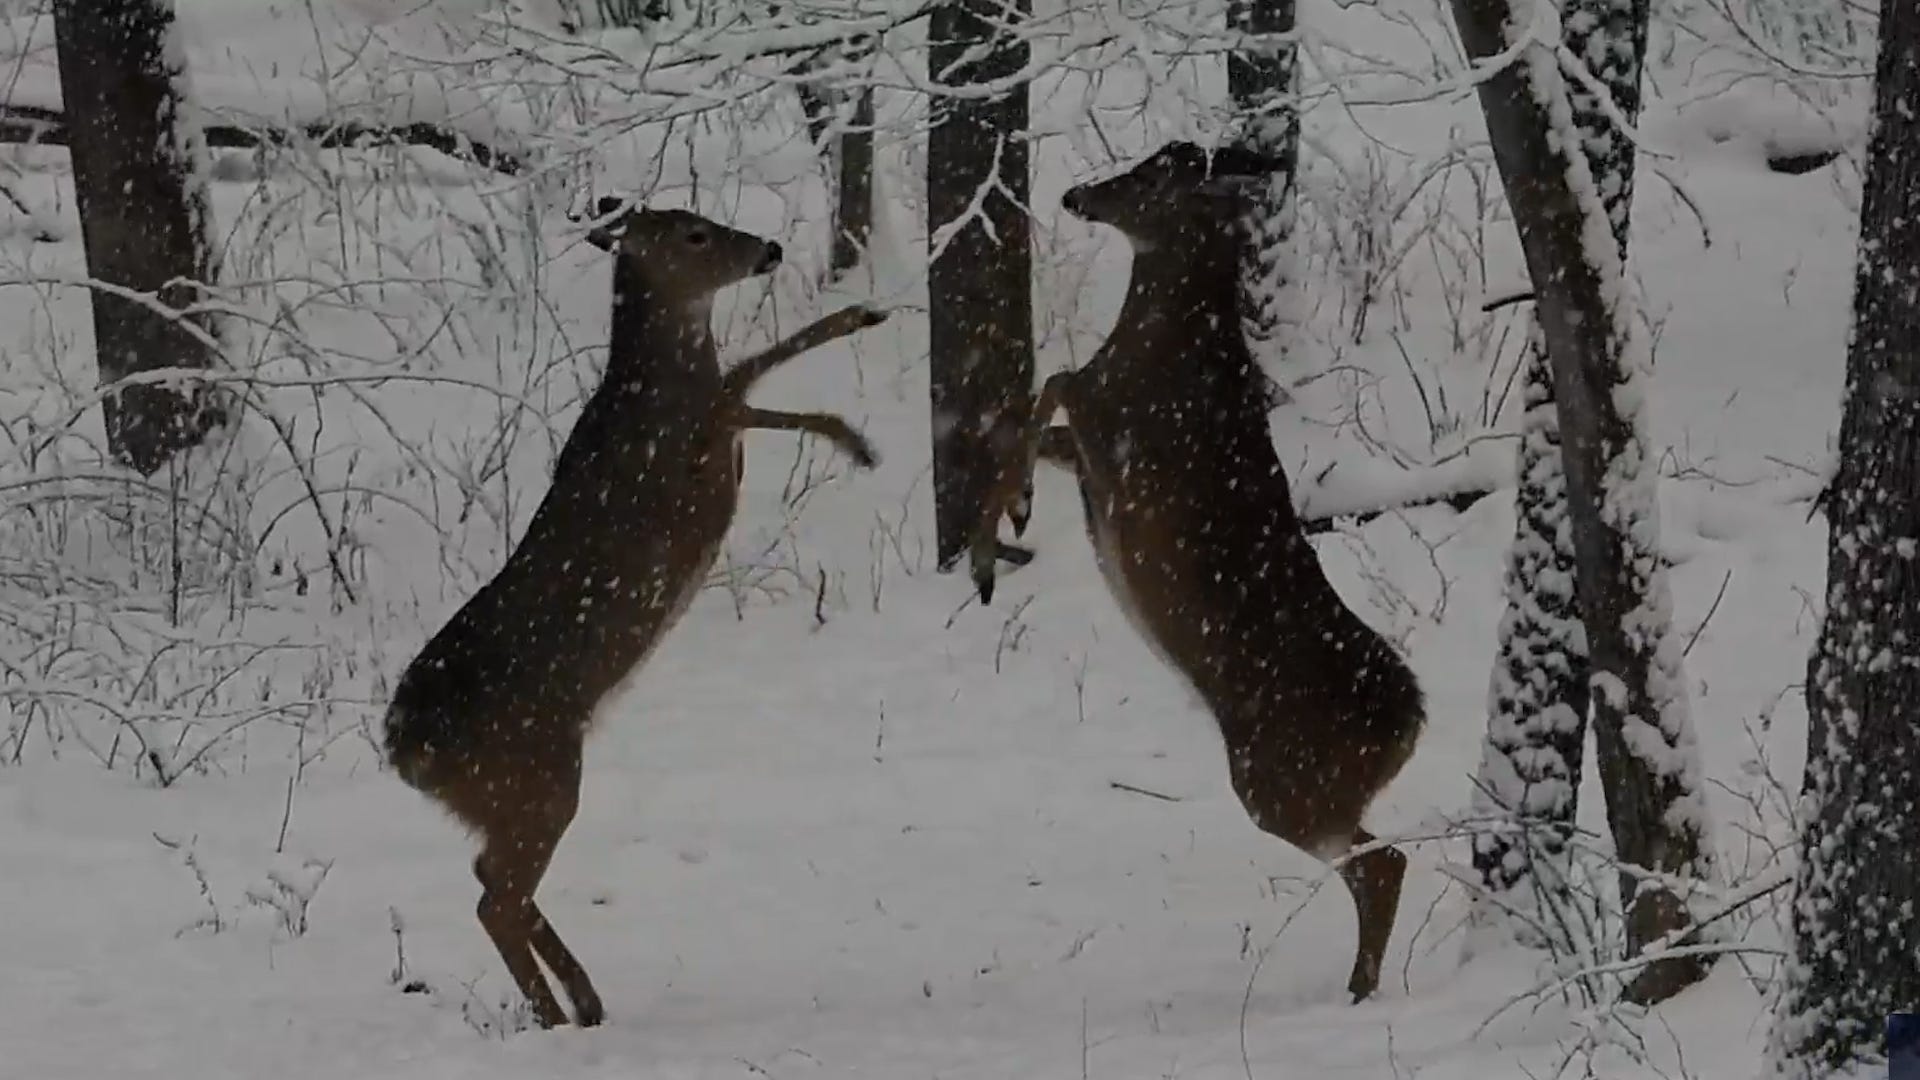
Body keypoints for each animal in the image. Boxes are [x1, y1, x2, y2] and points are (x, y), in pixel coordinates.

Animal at [383, 200, 888, 1028]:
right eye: (695, 234)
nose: (770, 248)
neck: (651, 392)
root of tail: (406, 753)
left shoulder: (713, 425)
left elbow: (748, 369)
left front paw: (865, 319)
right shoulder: (695, 454)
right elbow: (747, 387)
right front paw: (855, 437)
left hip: (502, 794)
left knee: (490, 881)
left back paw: (582, 1000)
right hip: (537, 775)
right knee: (497, 895)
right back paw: (560, 1015)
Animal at [969, 142, 1427, 1002]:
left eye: (1157, 171)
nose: (1078, 193)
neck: (1156, 341)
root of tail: (1410, 724)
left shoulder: (1120, 429)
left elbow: (1047, 386)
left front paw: (1003, 530)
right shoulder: (1094, 448)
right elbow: (1023, 417)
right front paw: (1000, 532)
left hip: (1279, 779)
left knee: (1383, 861)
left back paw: (1356, 992)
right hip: (1306, 785)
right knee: (1381, 858)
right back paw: (1360, 986)